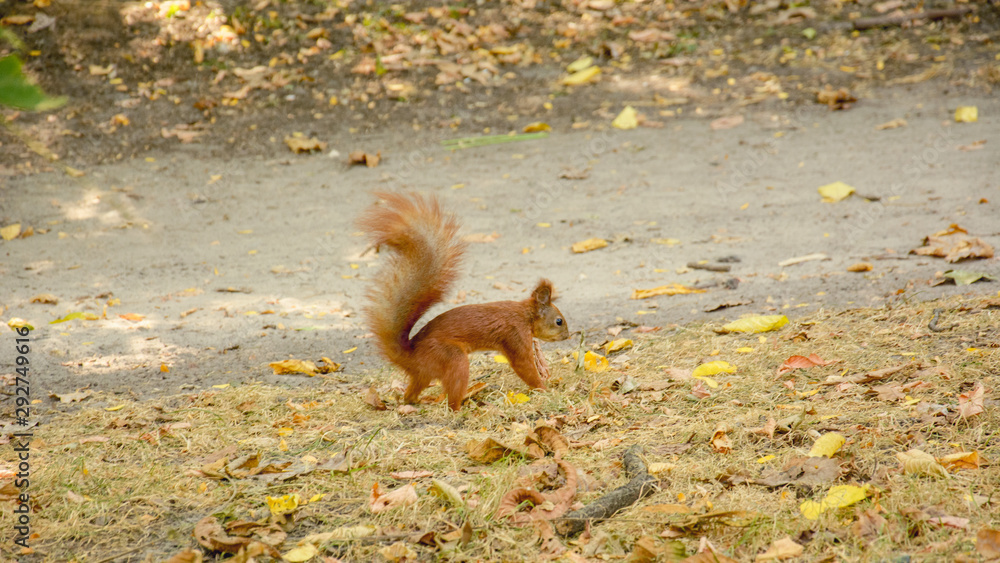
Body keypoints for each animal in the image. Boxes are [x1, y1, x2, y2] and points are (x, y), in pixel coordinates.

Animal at [357, 192, 570, 411]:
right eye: (559, 321)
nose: (568, 336)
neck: (525, 315)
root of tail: (410, 356)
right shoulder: (515, 335)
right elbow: (523, 366)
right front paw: (543, 389)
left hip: (426, 373)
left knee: (411, 394)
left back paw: (423, 400)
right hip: (452, 358)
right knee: (450, 396)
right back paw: (461, 408)